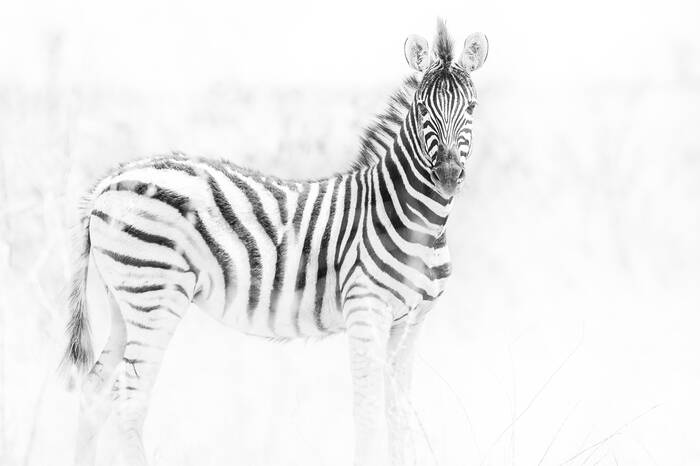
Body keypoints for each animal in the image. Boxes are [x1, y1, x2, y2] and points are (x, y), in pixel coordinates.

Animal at [61, 20, 488, 466]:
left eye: (472, 108)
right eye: (422, 109)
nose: (448, 176)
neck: (418, 221)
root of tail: (110, 181)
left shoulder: (411, 320)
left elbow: (399, 411)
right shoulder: (366, 308)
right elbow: (369, 409)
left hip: (125, 299)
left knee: (93, 390)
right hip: (156, 294)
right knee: (128, 400)